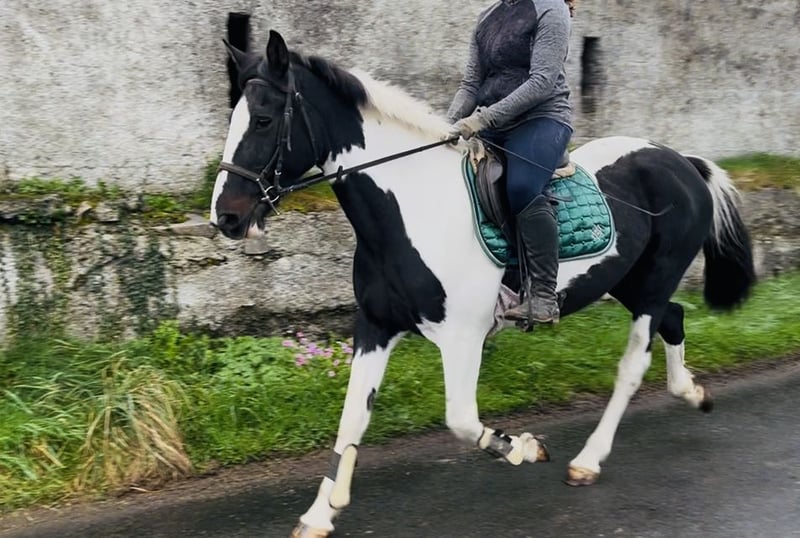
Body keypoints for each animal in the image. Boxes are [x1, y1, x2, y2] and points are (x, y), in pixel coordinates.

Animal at [210, 30, 755, 538]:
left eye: (263, 120)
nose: (226, 217)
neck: (413, 208)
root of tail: (681, 161)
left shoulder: (463, 337)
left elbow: (461, 420)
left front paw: (523, 448)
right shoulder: (375, 326)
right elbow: (352, 417)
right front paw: (321, 513)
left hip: (654, 283)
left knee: (633, 363)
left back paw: (588, 459)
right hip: (629, 282)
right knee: (675, 319)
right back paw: (693, 393)